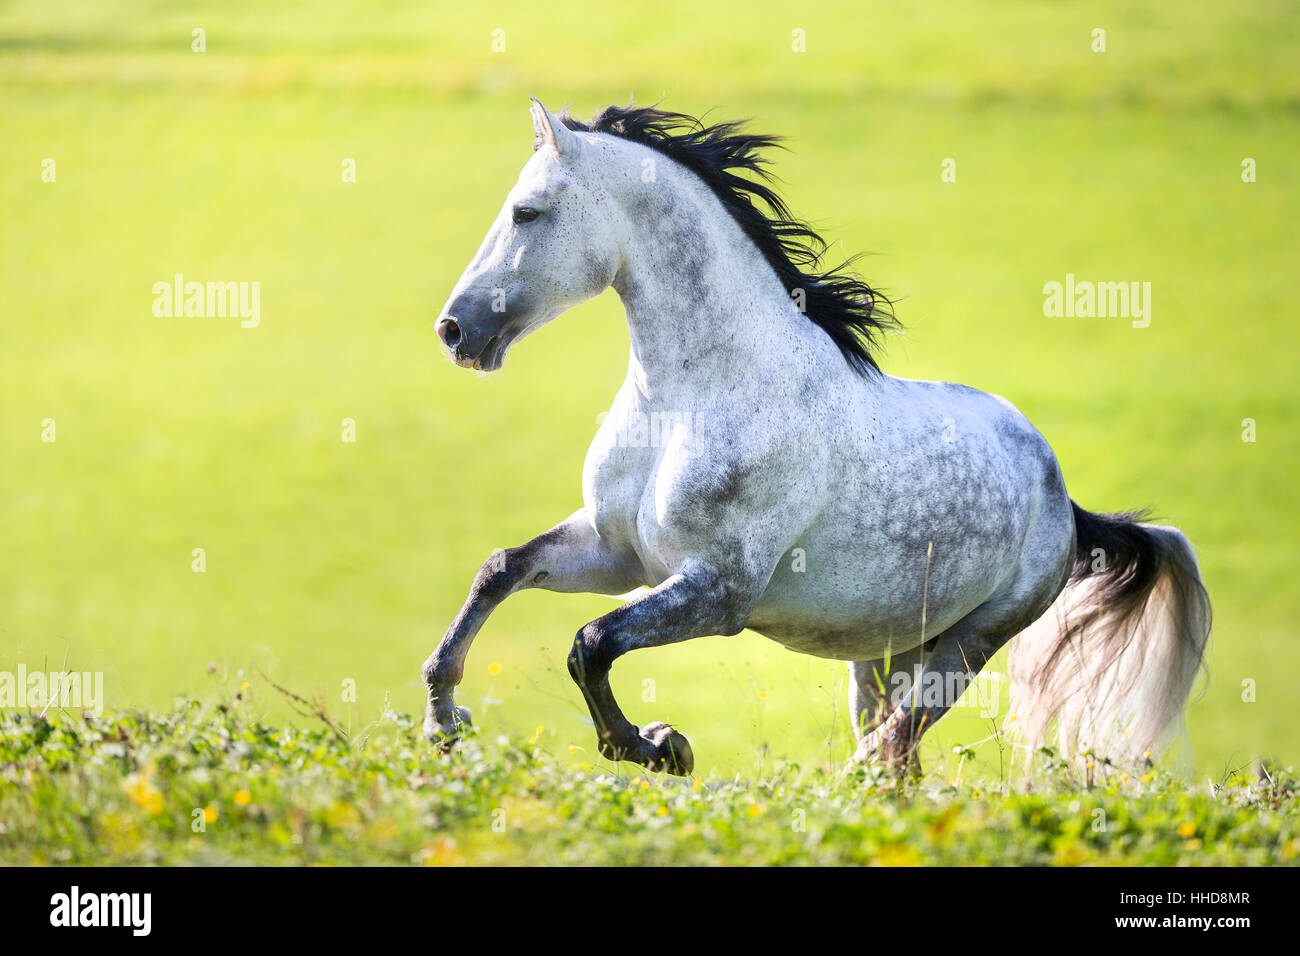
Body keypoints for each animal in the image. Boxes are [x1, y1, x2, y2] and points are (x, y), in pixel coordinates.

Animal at [422, 97, 1211, 777]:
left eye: (526, 212)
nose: (454, 331)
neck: (691, 399)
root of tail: (1062, 496)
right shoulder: (619, 553)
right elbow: (502, 569)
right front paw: (443, 718)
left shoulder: (719, 590)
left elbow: (591, 644)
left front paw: (658, 745)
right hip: (884, 655)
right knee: (896, 758)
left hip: (966, 648)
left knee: (889, 751)